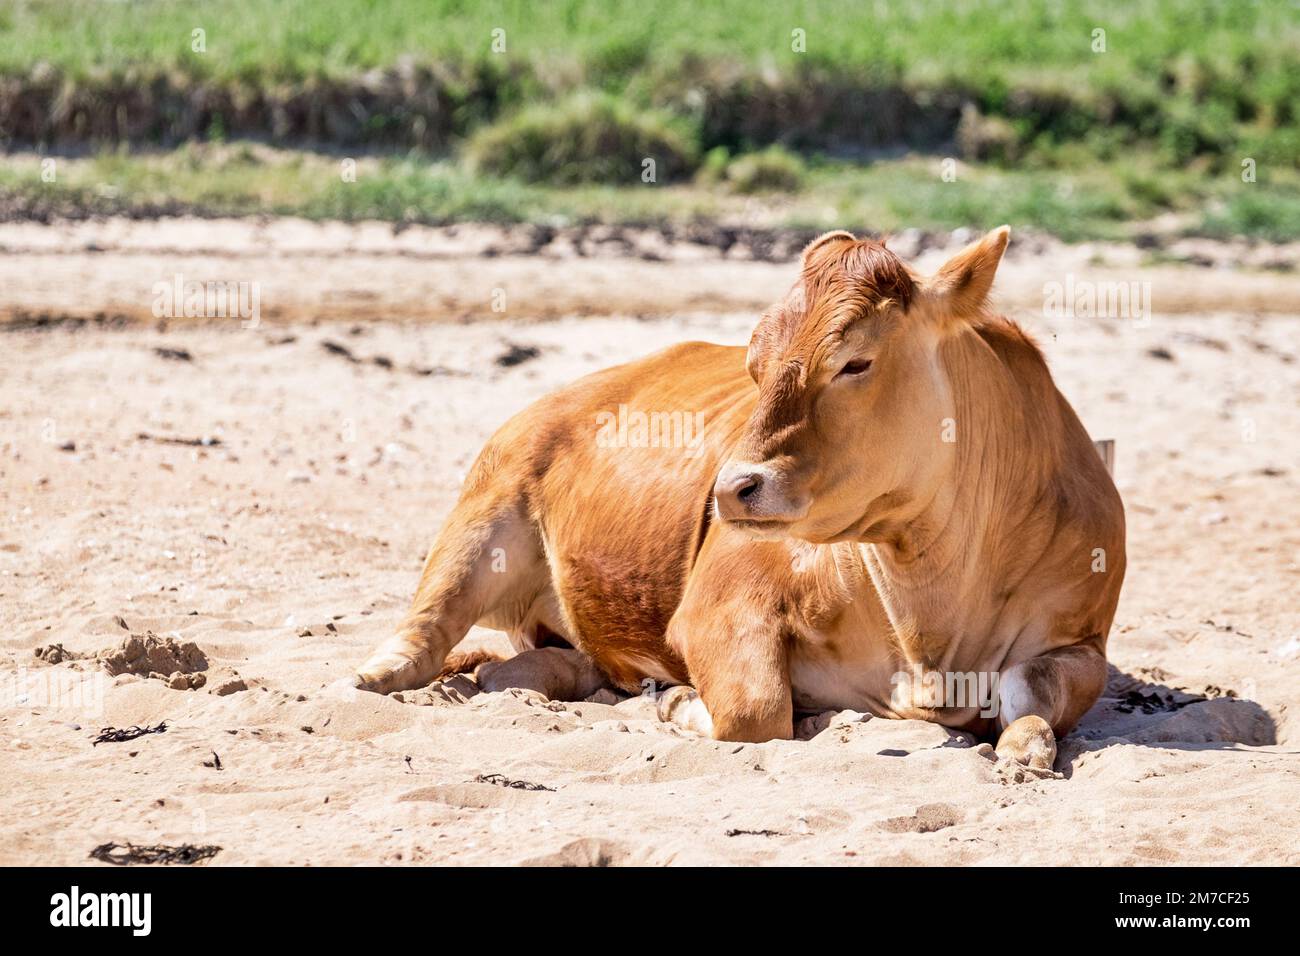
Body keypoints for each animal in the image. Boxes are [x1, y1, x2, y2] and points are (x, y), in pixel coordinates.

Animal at [350, 226, 1126, 770]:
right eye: (754, 365)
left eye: (855, 361)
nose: (731, 487)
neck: (930, 618)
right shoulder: (718, 605)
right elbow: (756, 712)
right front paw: (681, 703)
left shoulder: (1083, 638)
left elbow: (1035, 693)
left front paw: (1026, 745)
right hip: (486, 509)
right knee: (422, 637)